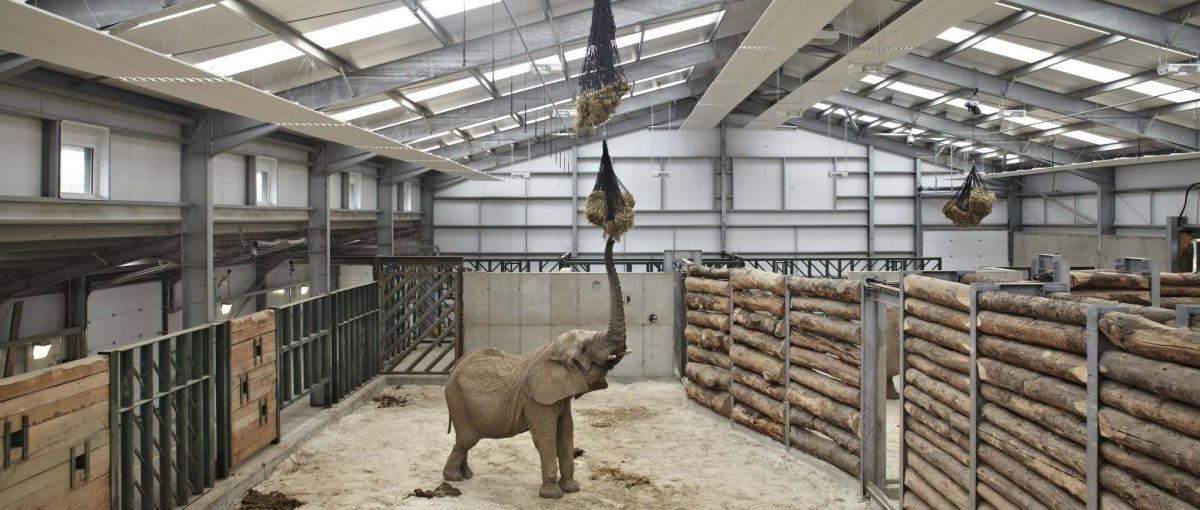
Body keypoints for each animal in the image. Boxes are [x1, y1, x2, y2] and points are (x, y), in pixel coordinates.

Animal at [442, 237, 630, 498]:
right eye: (584, 349)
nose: (611, 236)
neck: (550, 350)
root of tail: (454, 370)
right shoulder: (536, 400)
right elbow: (546, 437)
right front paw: (552, 495)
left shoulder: (559, 397)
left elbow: (566, 434)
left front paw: (572, 489)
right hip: (457, 399)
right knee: (466, 439)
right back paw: (454, 478)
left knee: (466, 440)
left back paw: (466, 475)